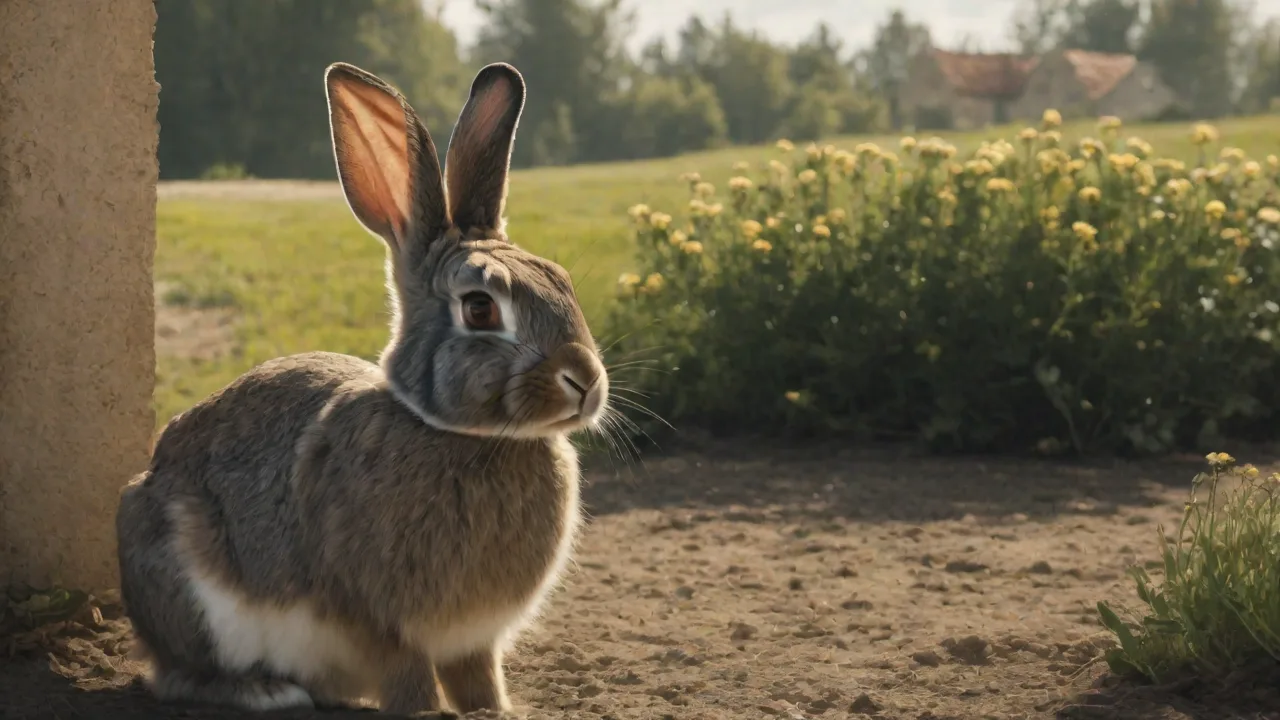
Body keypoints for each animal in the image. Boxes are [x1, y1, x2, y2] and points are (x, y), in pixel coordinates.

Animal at [115, 60, 609, 716]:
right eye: (480, 308)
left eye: (563, 280)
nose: (586, 381)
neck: (463, 434)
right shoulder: (378, 623)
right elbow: (408, 675)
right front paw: (428, 712)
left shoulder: (474, 641)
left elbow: (479, 676)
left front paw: (497, 709)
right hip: (187, 587)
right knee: (179, 674)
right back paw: (267, 690)